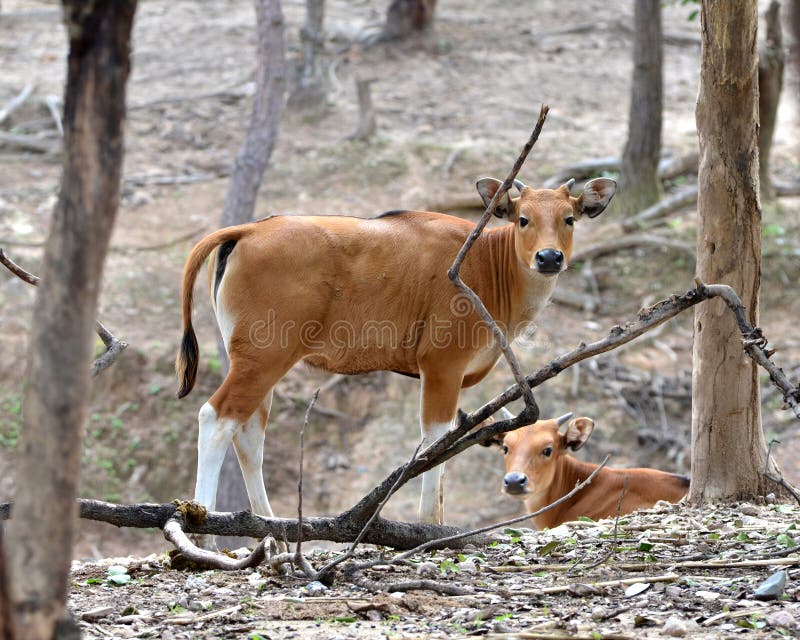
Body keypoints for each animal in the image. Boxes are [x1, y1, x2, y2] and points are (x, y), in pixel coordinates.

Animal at [175, 176, 617, 529]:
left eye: (569, 218)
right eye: (523, 218)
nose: (549, 257)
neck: (487, 264)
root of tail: (248, 230)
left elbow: (449, 439)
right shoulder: (441, 365)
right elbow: (435, 439)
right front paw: (429, 524)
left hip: (258, 360)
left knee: (248, 433)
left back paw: (269, 527)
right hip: (265, 356)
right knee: (216, 418)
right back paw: (202, 526)